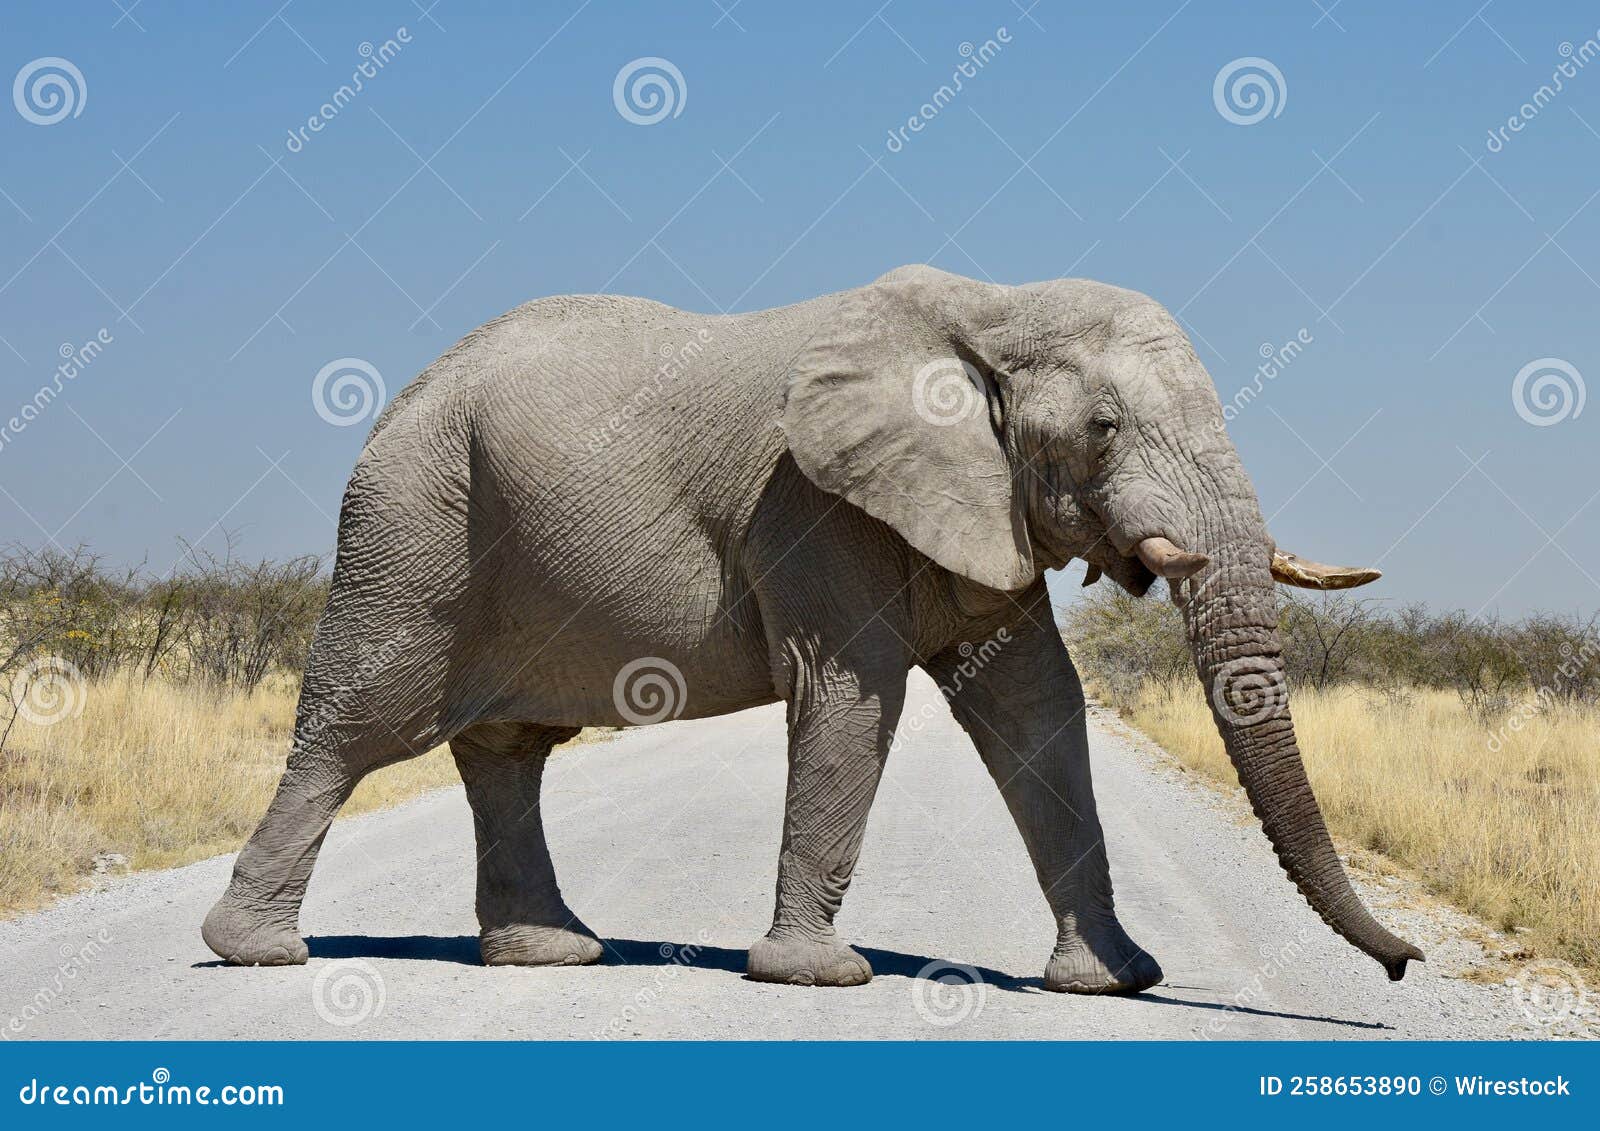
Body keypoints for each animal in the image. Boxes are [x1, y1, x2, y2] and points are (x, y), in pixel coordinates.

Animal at [202, 264, 1422, 993]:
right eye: (1105, 426)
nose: (1405, 967)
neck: (996, 304)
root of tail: (403, 395)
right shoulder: (815, 503)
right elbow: (851, 695)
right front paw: (816, 977)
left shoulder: (978, 503)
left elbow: (1036, 707)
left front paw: (1118, 982)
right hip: (412, 526)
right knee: (358, 728)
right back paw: (257, 953)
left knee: (506, 752)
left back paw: (550, 955)